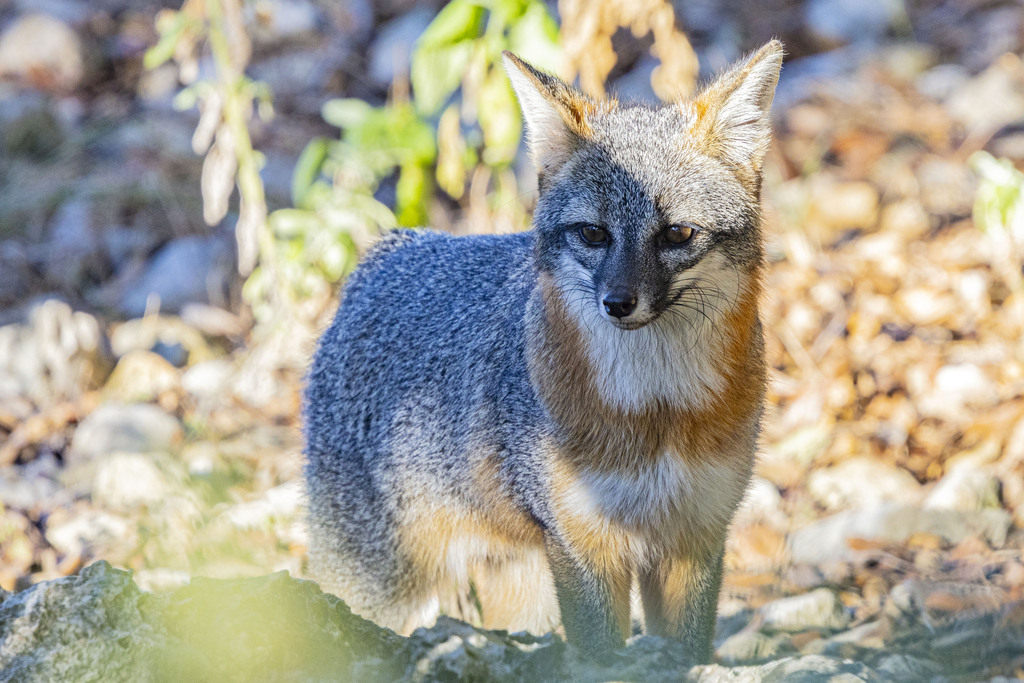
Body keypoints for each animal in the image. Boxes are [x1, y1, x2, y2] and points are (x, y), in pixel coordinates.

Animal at [303, 40, 782, 661]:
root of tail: (391, 250)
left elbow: (687, 649)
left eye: (677, 234)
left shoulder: (695, 536)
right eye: (593, 234)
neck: (655, 411)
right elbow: (600, 654)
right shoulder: (583, 547)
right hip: (380, 584)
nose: (618, 302)